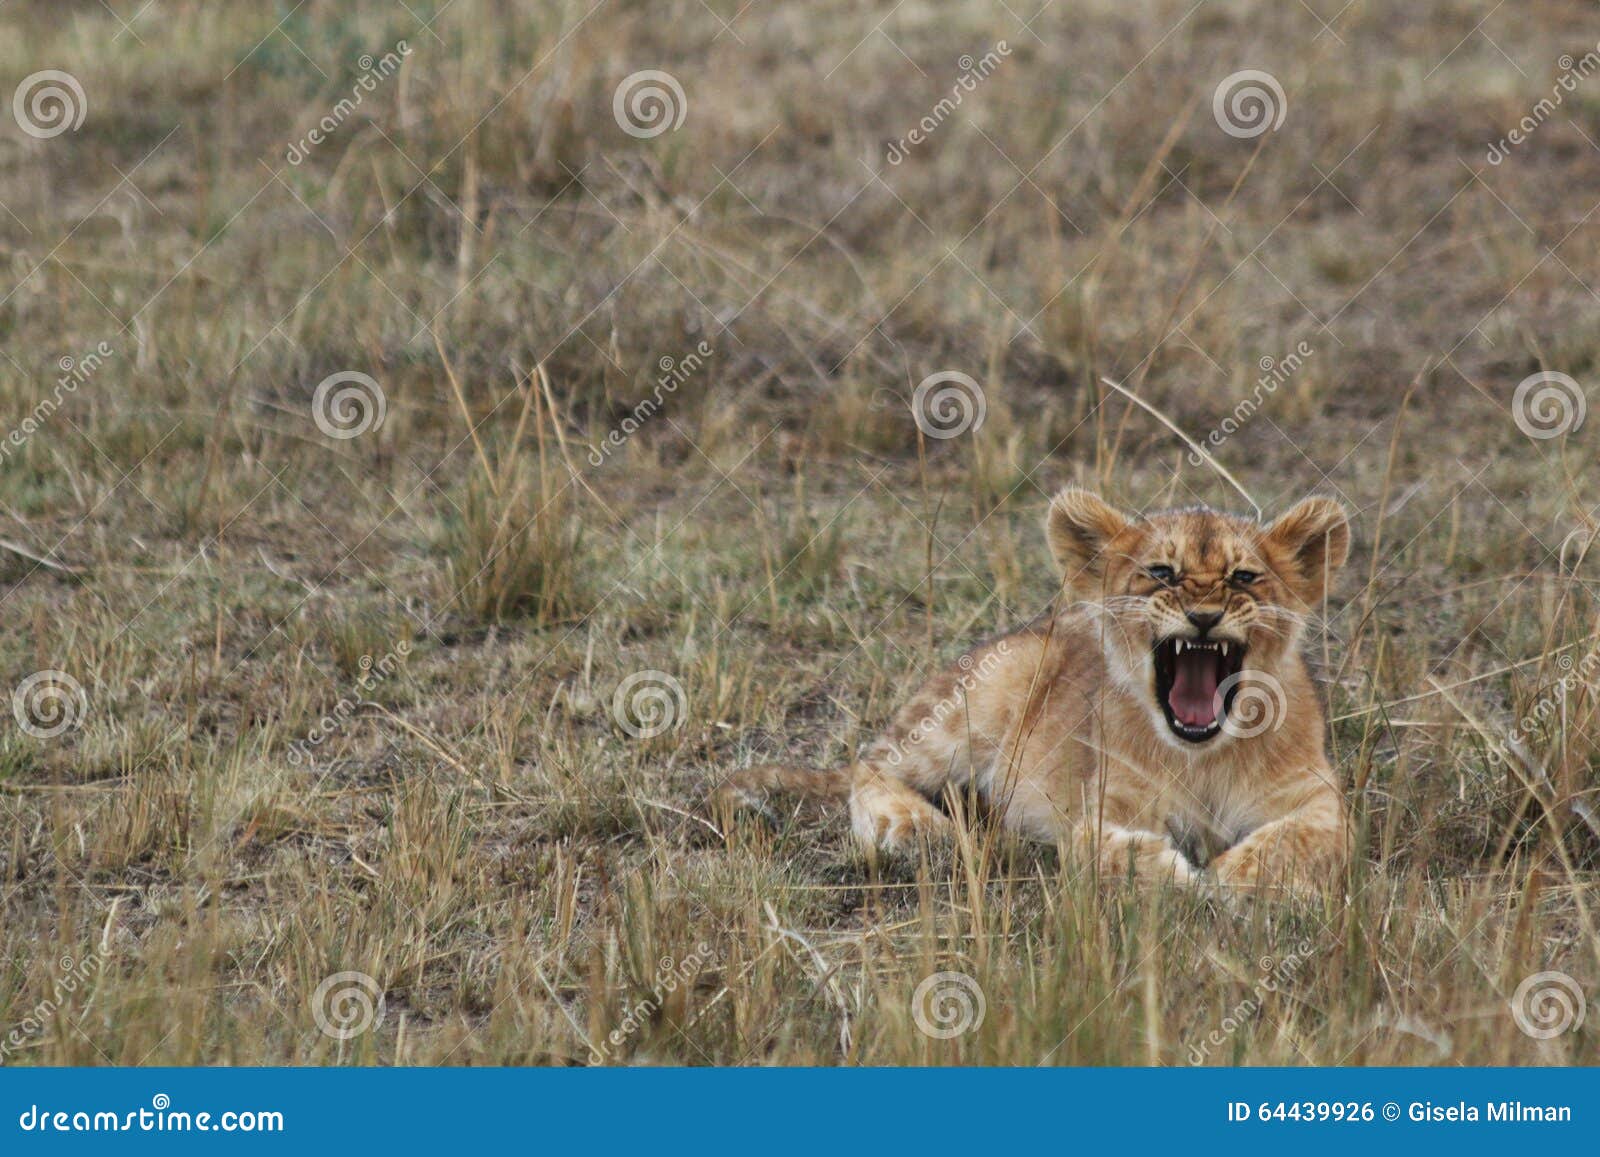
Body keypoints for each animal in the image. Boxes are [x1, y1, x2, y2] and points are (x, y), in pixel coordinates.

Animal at [721, 487, 1352, 893]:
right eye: (1161, 573)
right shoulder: (1101, 809)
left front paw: (1232, 876)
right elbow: (1109, 851)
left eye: (1244, 577)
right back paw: (918, 828)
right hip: (976, 701)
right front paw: (1187, 876)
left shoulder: (1321, 805)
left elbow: (1292, 842)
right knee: (870, 766)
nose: (1203, 615)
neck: (1204, 756)